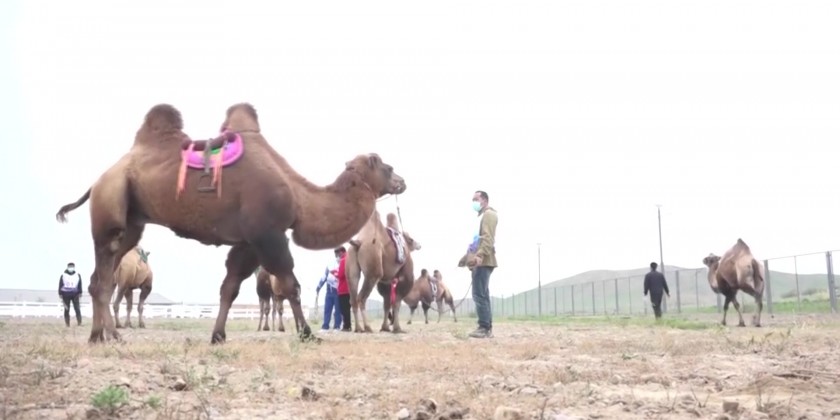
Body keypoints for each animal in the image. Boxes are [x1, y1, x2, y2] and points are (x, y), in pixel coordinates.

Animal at [54, 103, 406, 344]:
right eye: (387, 167)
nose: (402, 181)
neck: (298, 195)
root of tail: (98, 181)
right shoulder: (268, 233)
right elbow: (290, 284)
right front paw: (307, 333)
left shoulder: (248, 242)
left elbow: (230, 287)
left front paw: (218, 335)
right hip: (111, 203)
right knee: (104, 271)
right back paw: (102, 336)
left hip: (132, 221)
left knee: (105, 275)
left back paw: (107, 335)